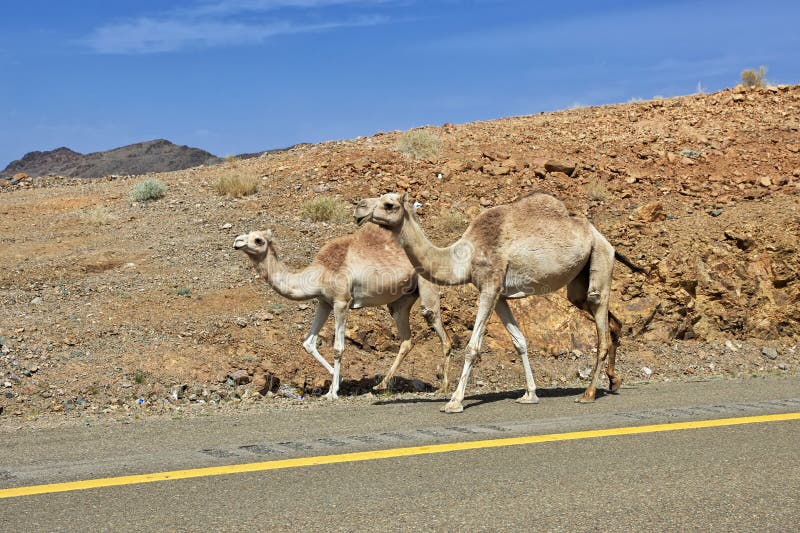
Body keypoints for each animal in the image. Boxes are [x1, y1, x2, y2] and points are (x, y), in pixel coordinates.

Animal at [233, 223, 452, 399]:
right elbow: (308, 343)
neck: (319, 273)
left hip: (427, 286)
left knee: (438, 327)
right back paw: (380, 385)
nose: (237, 241)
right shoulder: (324, 302)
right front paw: (339, 381)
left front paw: (333, 392)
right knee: (406, 340)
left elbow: (338, 348)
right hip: (401, 301)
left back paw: (444, 387)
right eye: (247, 234)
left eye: (258, 240)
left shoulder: (341, 302)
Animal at [357, 191, 644, 413]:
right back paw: (614, 381)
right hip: (578, 282)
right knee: (610, 321)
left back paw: (589, 393)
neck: (463, 257)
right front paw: (530, 394)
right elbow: (520, 342)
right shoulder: (500, 296)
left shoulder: (490, 286)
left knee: (600, 323)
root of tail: (605, 239)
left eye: (389, 204)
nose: (359, 208)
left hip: (600, 261)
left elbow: (472, 347)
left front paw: (454, 401)